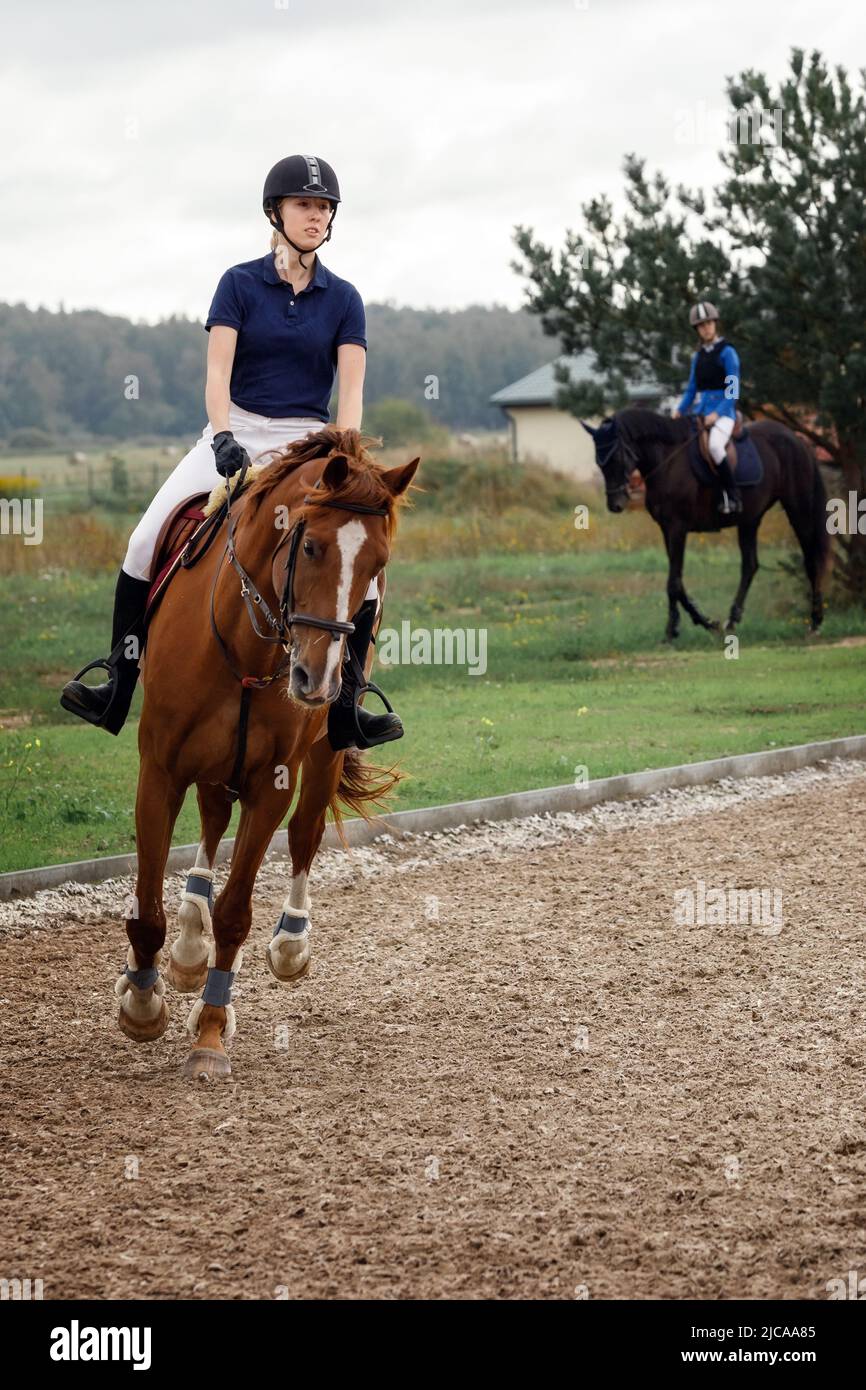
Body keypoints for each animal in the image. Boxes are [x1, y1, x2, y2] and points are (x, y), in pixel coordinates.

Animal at [114, 427, 419, 1079]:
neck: (247, 644)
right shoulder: (160, 771)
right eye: (313, 548)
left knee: (304, 834)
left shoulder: (270, 783)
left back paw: (288, 943)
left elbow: (237, 911)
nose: (316, 679)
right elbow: (148, 905)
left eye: (376, 567)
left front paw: (209, 1032)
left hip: (324, 749)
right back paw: (187, 944)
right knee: (210, 819)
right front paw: (143, 1003)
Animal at [581, 409, 830, 640]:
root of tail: (796, 439)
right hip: (750, 519)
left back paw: (815, 622)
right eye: (599, 463)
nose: (615, 504)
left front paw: (672, 630)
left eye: (616, 458)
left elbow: (673, 582)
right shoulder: (666, 529)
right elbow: (678, 581)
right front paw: (707, 622)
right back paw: (731, 621)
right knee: (750, 565)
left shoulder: (677, 528)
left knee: (811, 560)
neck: (667, 460)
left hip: (798, 509)